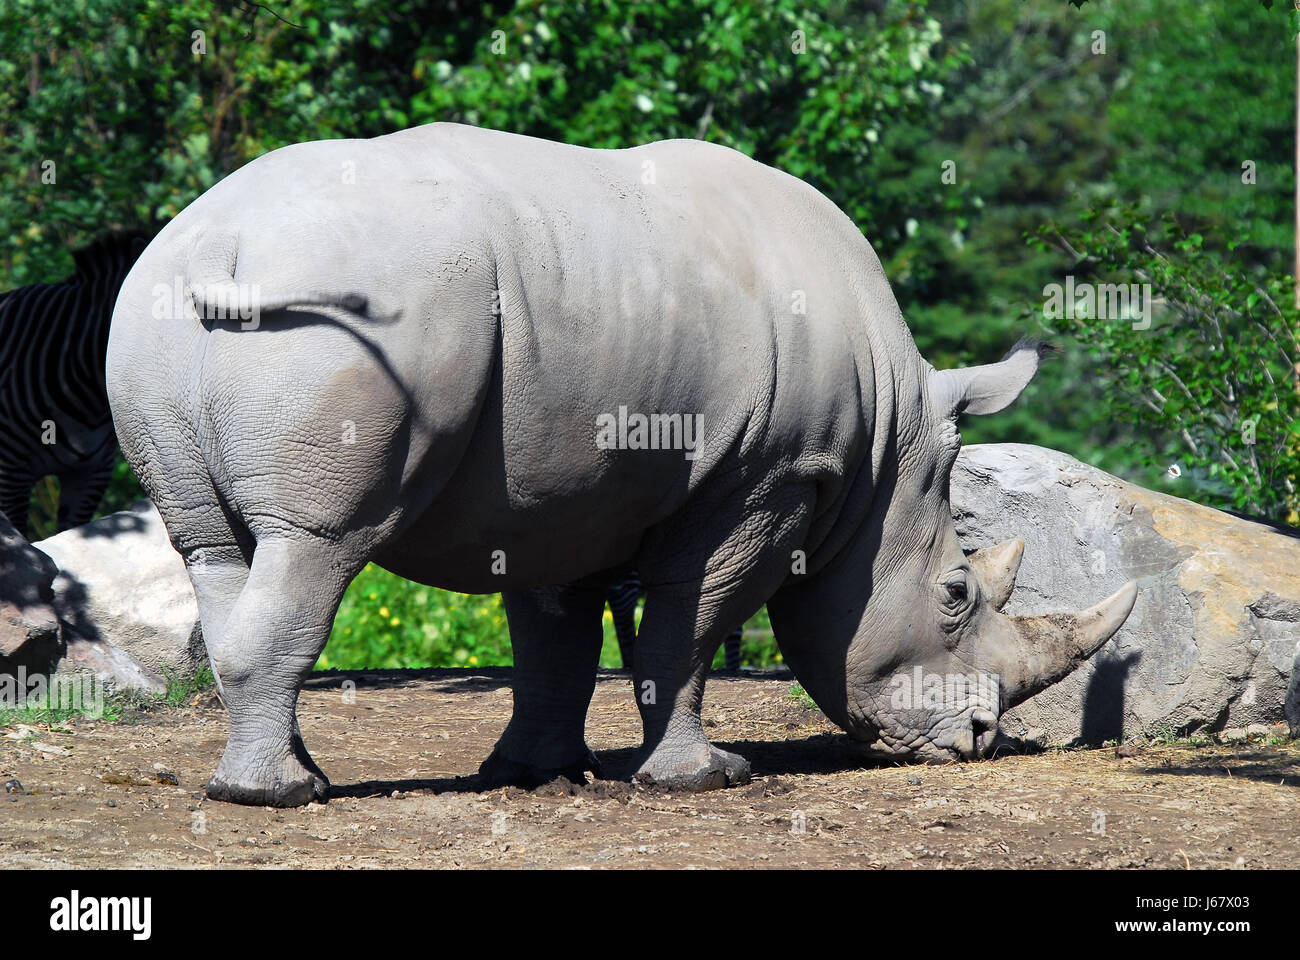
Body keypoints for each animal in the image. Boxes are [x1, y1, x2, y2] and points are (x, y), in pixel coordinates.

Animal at [106, 123, 1137, 806]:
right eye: (957, 593)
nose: (979, 740)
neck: (883, 455)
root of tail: (221, 242)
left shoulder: (554, 488)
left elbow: (554, 631)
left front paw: (534, 773)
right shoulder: (767, 479)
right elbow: (689, 621)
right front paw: (706, 778)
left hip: (151, 319)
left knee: (215, 549)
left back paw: (285, 778)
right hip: (356, 320)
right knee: (315, 543)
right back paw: (277, 796)